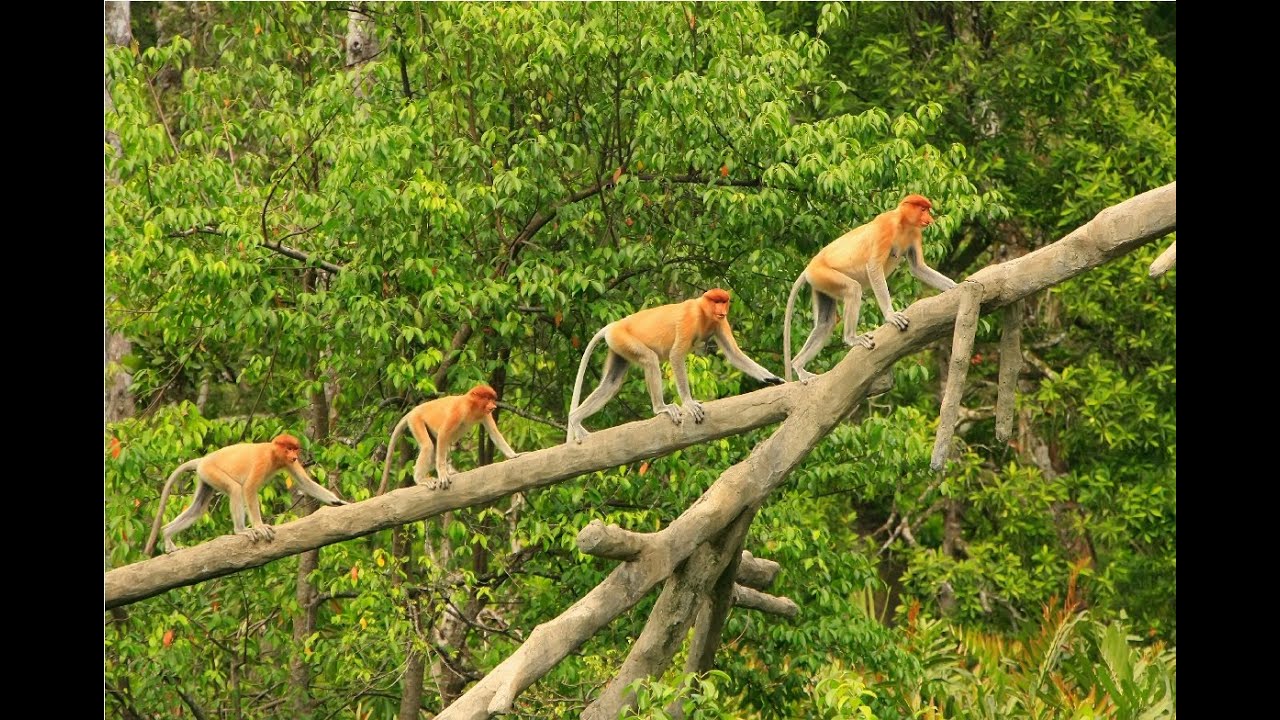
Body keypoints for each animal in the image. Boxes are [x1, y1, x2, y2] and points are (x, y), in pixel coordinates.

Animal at [143, 434, 348, 555]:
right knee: (235, 489)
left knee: (198, 509)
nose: (294, 455)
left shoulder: (289, 463)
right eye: (289, 448)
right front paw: (260, 526)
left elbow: (306, 483)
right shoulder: (263, 460)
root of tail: (203, 460)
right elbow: (249, 488)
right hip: (212, 471)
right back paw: (241, 530)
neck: (273, 453)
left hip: (205, 476)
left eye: (295, 449)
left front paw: (340, 502)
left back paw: (167, 534)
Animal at [376, 384, 522, 495]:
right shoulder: (458, 411)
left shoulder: (485, 414)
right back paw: (421, 479)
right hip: (416, 420)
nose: (493, 406)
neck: (471, 405)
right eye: (487, 398)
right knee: (428, 446)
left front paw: (514, 455)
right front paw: (442, 474)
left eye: (492, 399)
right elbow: (444, 433)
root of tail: (413, 411)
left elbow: (494, 434)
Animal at [567, 288, 784, 444]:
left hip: (618, 346)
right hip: (623, 338)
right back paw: (661, 408)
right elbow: (677, 355)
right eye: (716, 302)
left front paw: (773, 378)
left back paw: (575, 419)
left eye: (724, 302)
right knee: (650, 359)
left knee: (611, 383)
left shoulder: (720, 323)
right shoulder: (690, 318)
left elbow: (734, 354)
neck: (703, 311)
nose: (722, 311)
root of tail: (614, 325)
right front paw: (689, 403)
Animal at [783, 194, 958, 381]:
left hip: (820, 284)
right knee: (853, 289)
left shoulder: (915, 233)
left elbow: (918, 267)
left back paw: (798, 365)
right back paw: (852, 338)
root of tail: (809, 267)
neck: (902, 222)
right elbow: (874, 267)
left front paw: (955, 286)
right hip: (823, 274)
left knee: (825, 323)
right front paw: (891, 316)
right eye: (923, 209)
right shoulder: (885, 227)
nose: (930, 219)